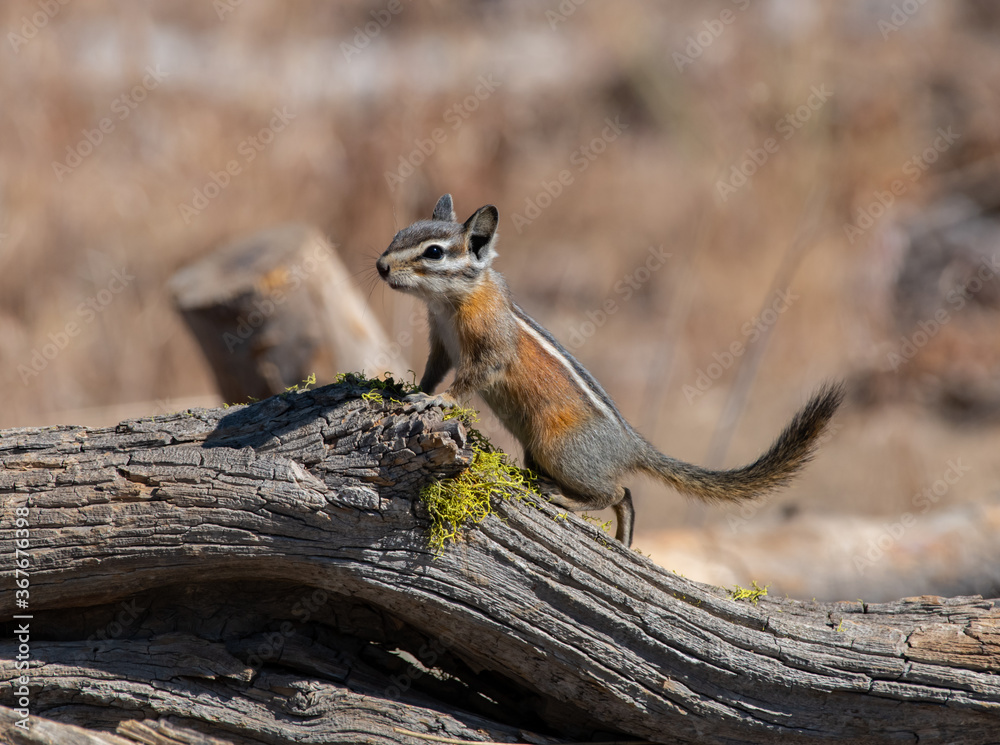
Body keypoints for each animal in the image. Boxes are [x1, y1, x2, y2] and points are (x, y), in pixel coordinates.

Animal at [376, 194, 843, 548]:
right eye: (398, 234)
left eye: (434, 252)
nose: (381, 266)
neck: (451, 300)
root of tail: (630, 446)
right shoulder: (440, 342)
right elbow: (435, 367)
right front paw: (411, 390)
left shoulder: (489, 347)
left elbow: (474, 376)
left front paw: (438, 400)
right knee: (626, 496)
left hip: (560, 449)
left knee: (619, 490)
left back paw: (570, 502)